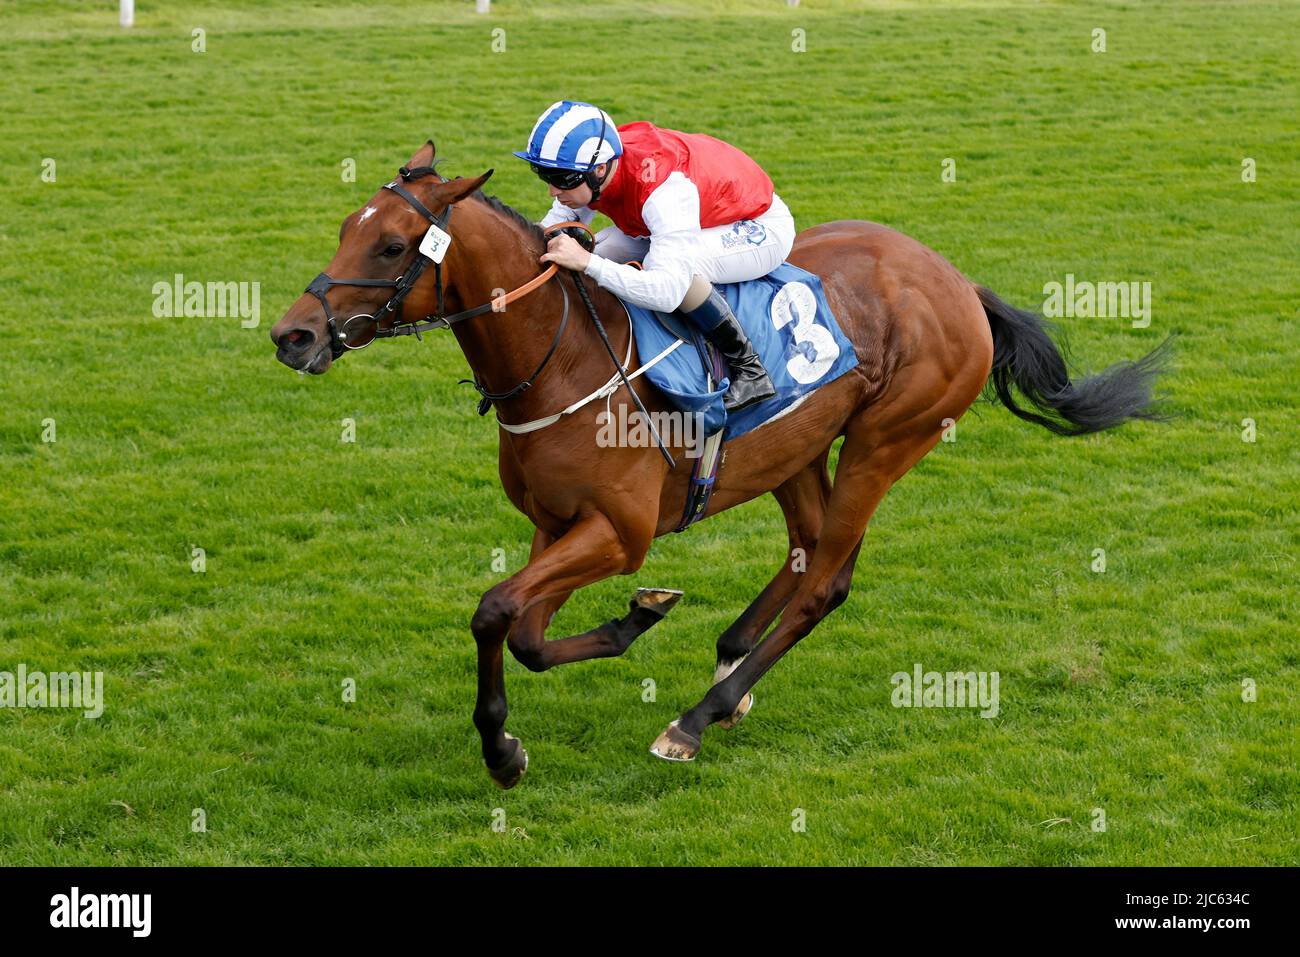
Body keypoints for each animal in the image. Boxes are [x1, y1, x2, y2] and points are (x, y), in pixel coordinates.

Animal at [271, 140, 1169, 788]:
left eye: (391, 244)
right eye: (345, 228)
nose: (292, 335)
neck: (560, 354)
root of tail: (956, 281)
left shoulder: (619, 531)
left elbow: (495, 612)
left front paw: (502, 748)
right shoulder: (555, 525)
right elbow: (523, 630)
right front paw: (630, 625)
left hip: (887, 439)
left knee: (826, 580)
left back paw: (700, 715)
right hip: (796, 447)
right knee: (806, 549)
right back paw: (733, 654)